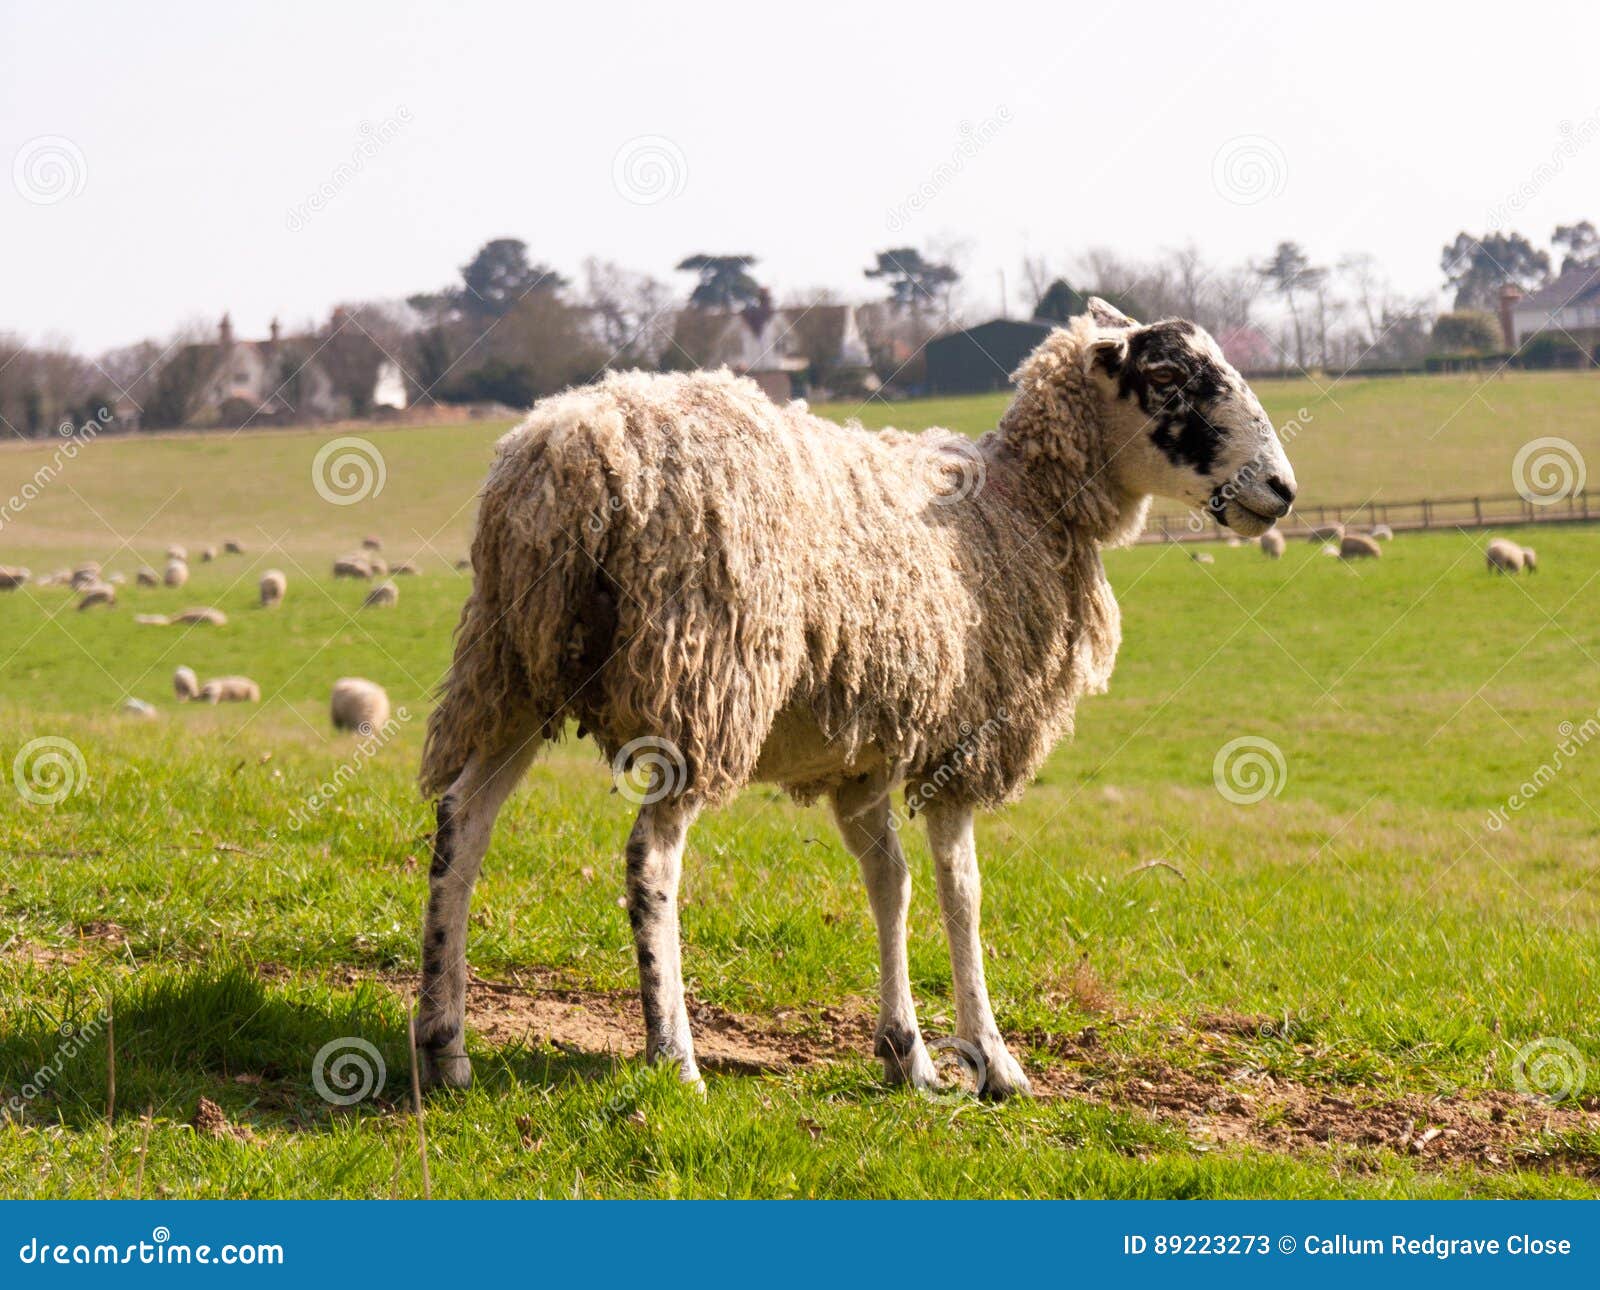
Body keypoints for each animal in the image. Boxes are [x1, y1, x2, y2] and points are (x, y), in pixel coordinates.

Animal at [413, 298, 1299, 1098]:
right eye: (1168, 377)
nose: (1282, 489)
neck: (1028, 502)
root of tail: (566, 451)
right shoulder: (963, 741)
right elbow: (962, 889)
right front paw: (994, 1060)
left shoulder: (864, 756)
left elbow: (890, 882)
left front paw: (907, 1051)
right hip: (705, 683)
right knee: (649, 858)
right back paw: (674, 1057)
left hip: (513, 667)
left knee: (463, 823)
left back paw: (443, 1042)